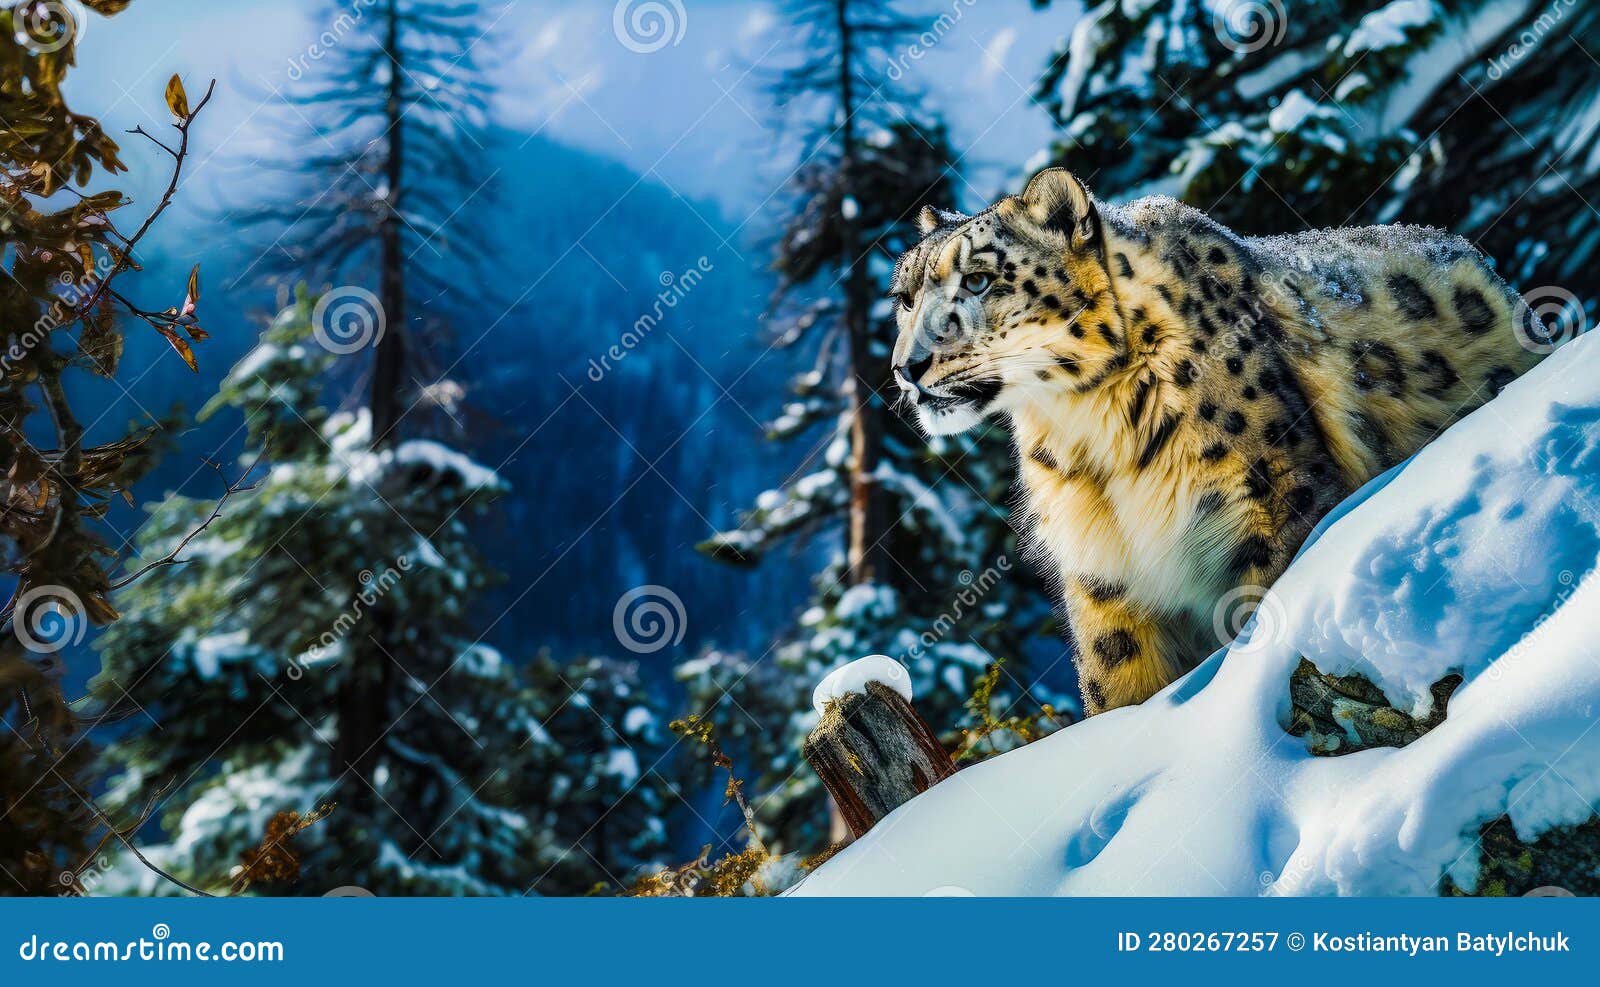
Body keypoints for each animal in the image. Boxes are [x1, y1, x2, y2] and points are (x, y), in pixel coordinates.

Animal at [890, 168, 1549, 715]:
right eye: (904, 298)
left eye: (978, 280)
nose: (906, 367)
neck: (1088, 433)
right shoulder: (1104, 578)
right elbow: (1117, 681)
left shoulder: (1271, 503)